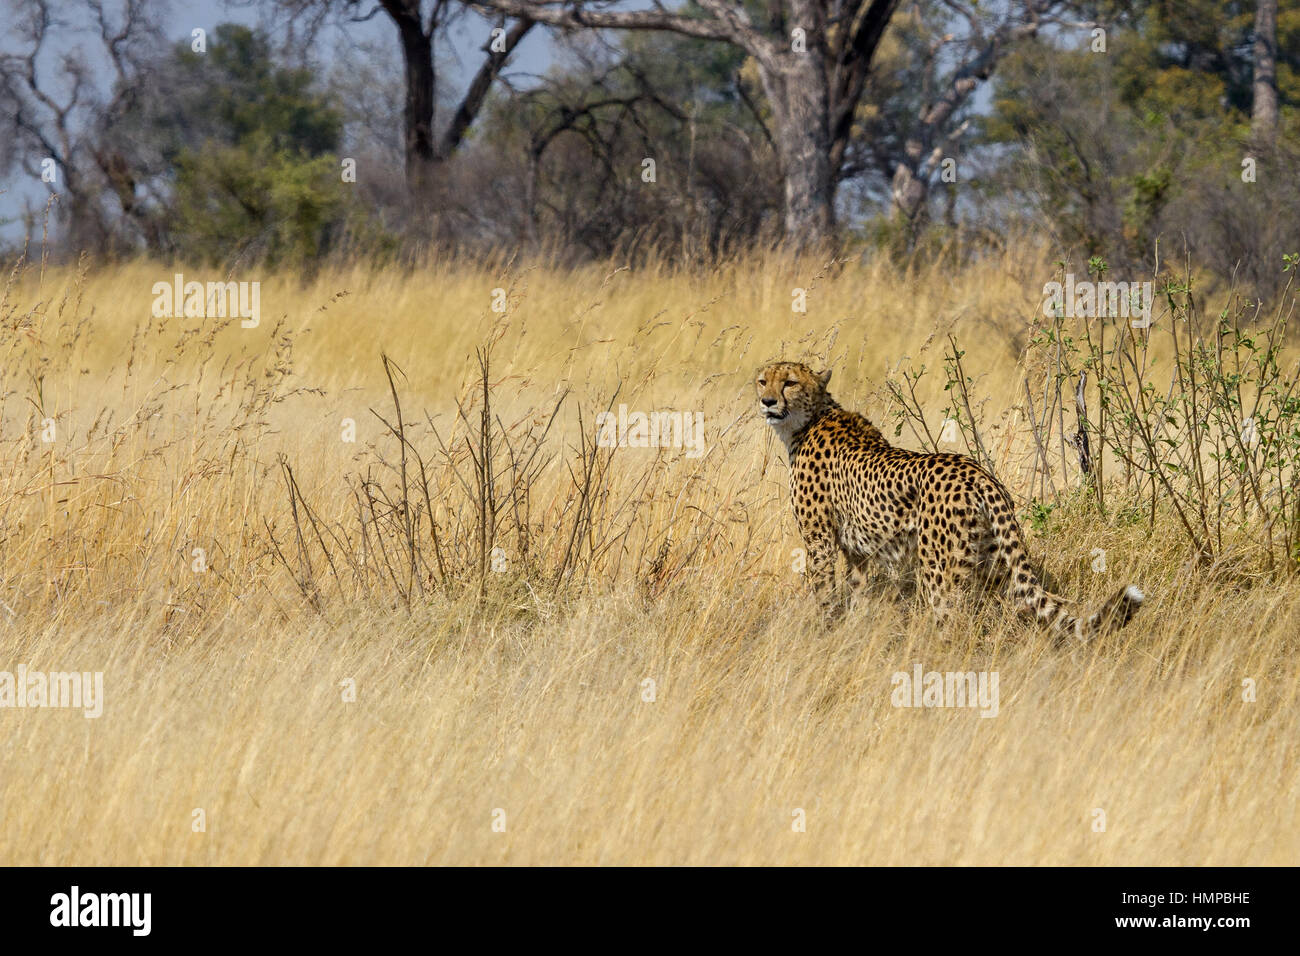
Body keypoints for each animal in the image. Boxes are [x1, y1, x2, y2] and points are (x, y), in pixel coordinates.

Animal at [756, 361, 1144, 641]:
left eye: (789, 382)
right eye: (762, 381)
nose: (767, 401)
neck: (809, 420)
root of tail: (978, 472)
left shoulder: (819, 541)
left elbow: (824, 594)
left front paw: (824, 633)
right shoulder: (859, 552)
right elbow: (858, 596)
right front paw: (851, 632)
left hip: (940, 573)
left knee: (953, 623)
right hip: (992, 565)